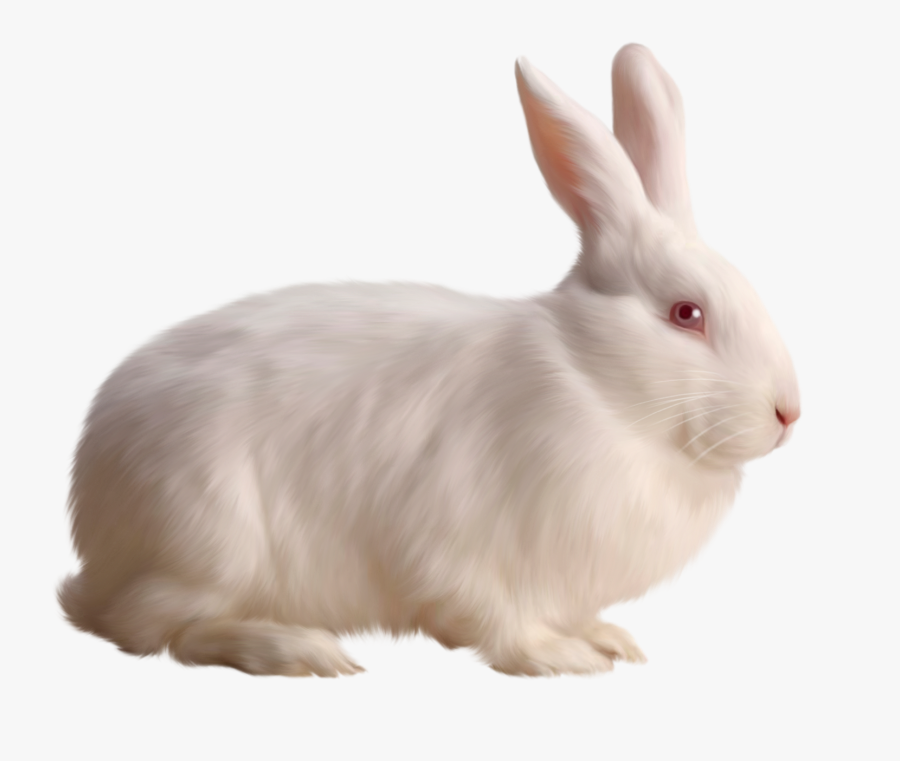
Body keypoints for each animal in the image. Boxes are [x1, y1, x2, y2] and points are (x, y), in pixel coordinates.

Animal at [58, 43, 800, 677]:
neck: (597, 385)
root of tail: (94, 532)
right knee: (156, 629)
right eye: (687, 314)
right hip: (211, 540)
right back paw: (298, 648)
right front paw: (561, 657)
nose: (788, 413)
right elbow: (495, 619)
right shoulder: (463, 545)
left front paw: (607, 637)